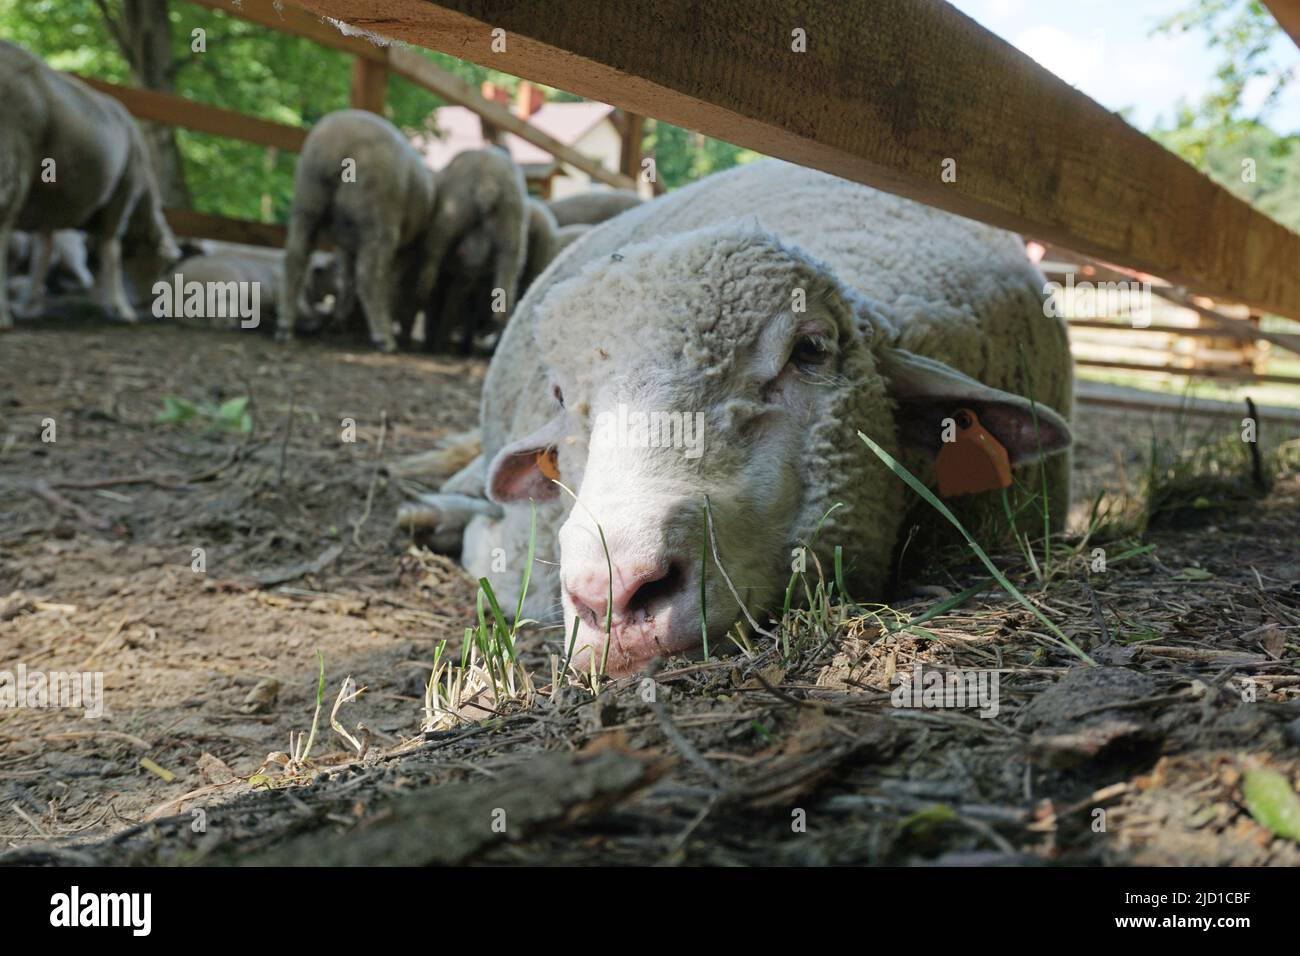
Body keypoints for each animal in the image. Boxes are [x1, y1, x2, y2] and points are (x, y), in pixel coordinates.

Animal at [0, 41, 179, 329]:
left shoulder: (50, 208)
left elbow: (42, 255)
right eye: (163, 265)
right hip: (14, 155)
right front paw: (121, 308)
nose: (148, 305)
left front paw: (28, 305)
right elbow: (112, 251)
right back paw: (2, 317)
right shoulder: (122, 195)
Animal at [278, 109, 437, 353]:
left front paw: (338, 320)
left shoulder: (345, 243)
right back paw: (384, 338)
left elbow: (346, 278)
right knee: (370, 277)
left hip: (307, 203)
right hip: (378, 221)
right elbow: (387, 282)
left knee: (295, 258)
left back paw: (286, 326)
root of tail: (337, 146)